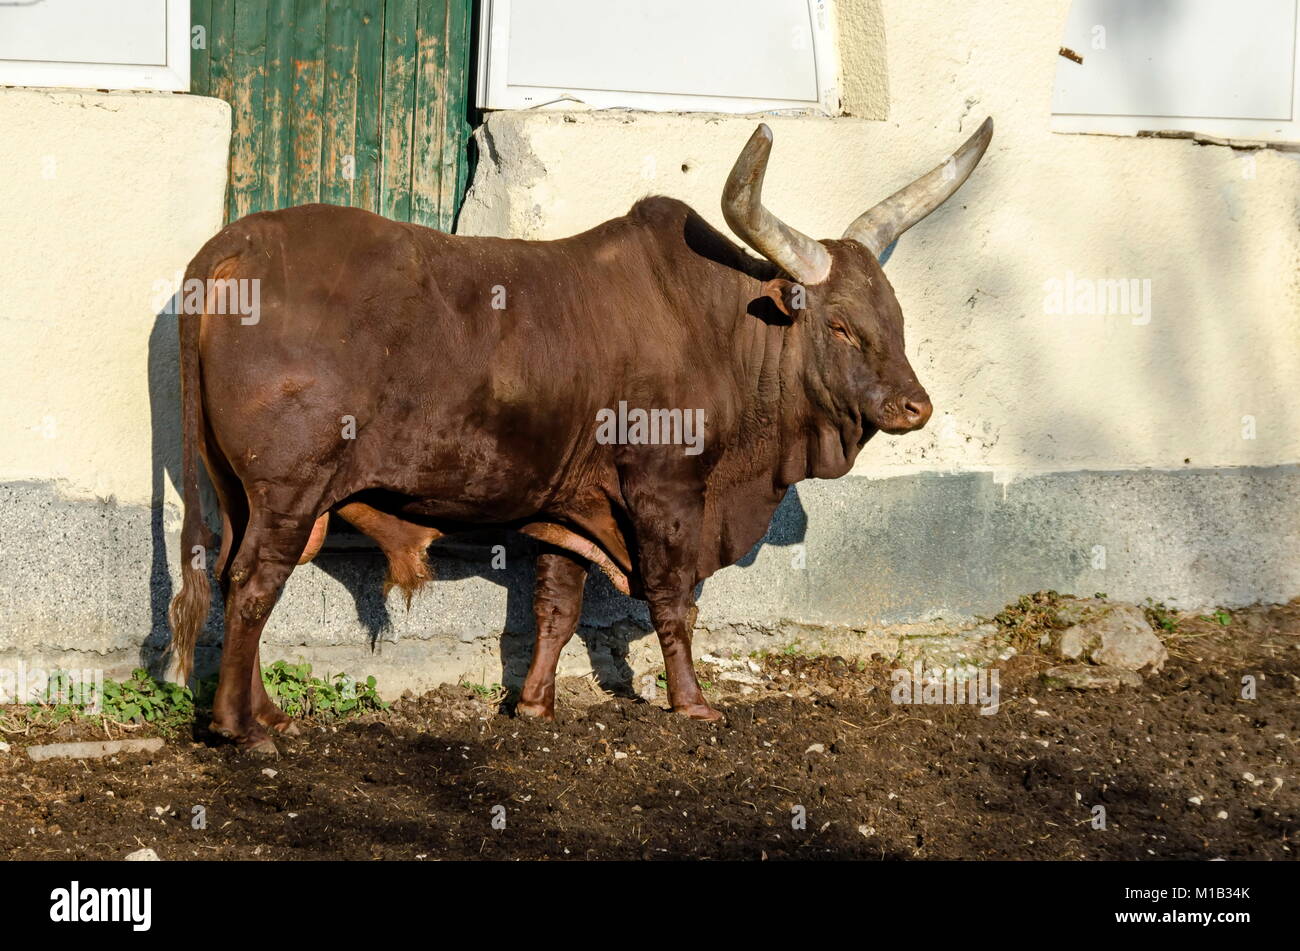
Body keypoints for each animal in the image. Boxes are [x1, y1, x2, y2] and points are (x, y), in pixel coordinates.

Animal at [168, 118, 993, 752]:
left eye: (895, 316)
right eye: (842, 325)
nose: (914, 406)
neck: (720, 326)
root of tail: (239, 243)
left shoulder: (572, 507)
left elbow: (557, 607)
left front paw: (534, 703)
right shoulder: (666, 491)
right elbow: (673, 600)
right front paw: (693, 702)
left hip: (248, 491)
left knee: (244, 578)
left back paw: (266, 710)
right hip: (288, 486)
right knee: (254, 583)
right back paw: (241, 726)